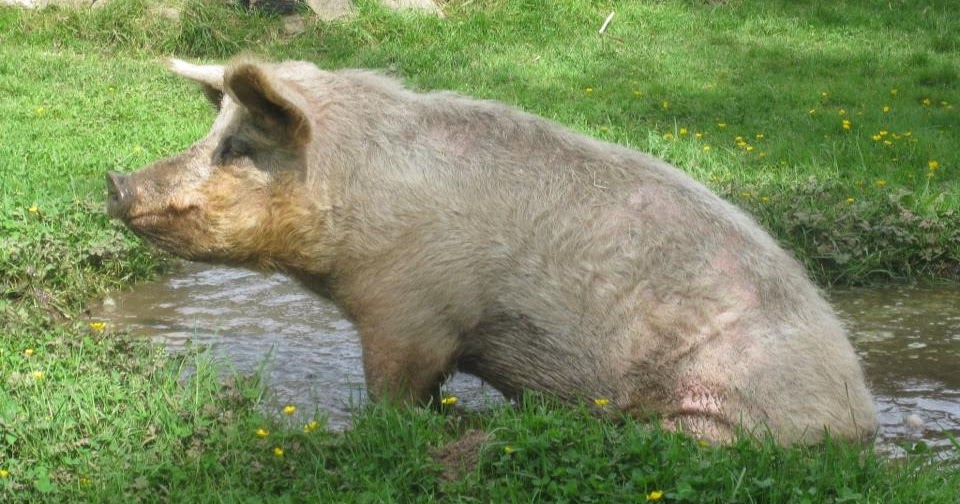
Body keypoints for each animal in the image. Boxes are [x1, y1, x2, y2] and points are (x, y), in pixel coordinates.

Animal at [106, 57, 877, 445]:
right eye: (212, 135)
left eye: (238, 147)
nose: (114, 182)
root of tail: (860, 416)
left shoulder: (410, 308)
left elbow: (399, 387)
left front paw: (382, 431)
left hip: (729, 406)